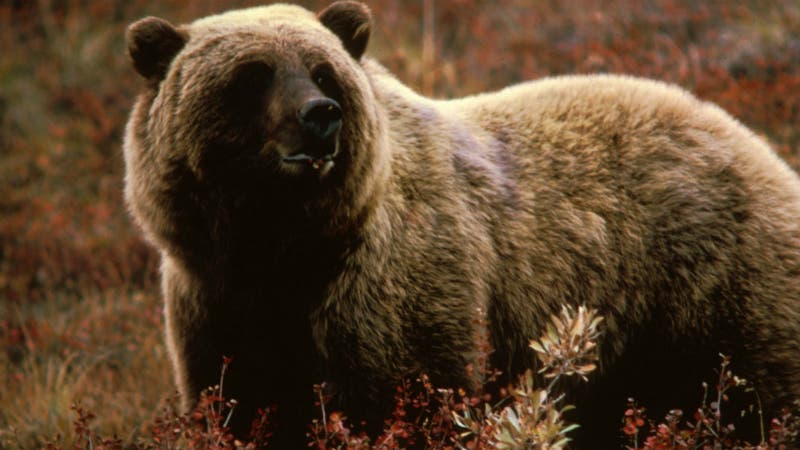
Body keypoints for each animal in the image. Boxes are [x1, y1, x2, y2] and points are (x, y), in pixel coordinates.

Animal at [123, 1, 800, 447]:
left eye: (321, 70)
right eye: (254, 74)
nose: (321, 116)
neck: (281, 246)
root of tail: (758, 145)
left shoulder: (392, 286)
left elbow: (407, 395)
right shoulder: (213, 301)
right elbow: (237, 403)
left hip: (711, 289)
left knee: (761, 394)